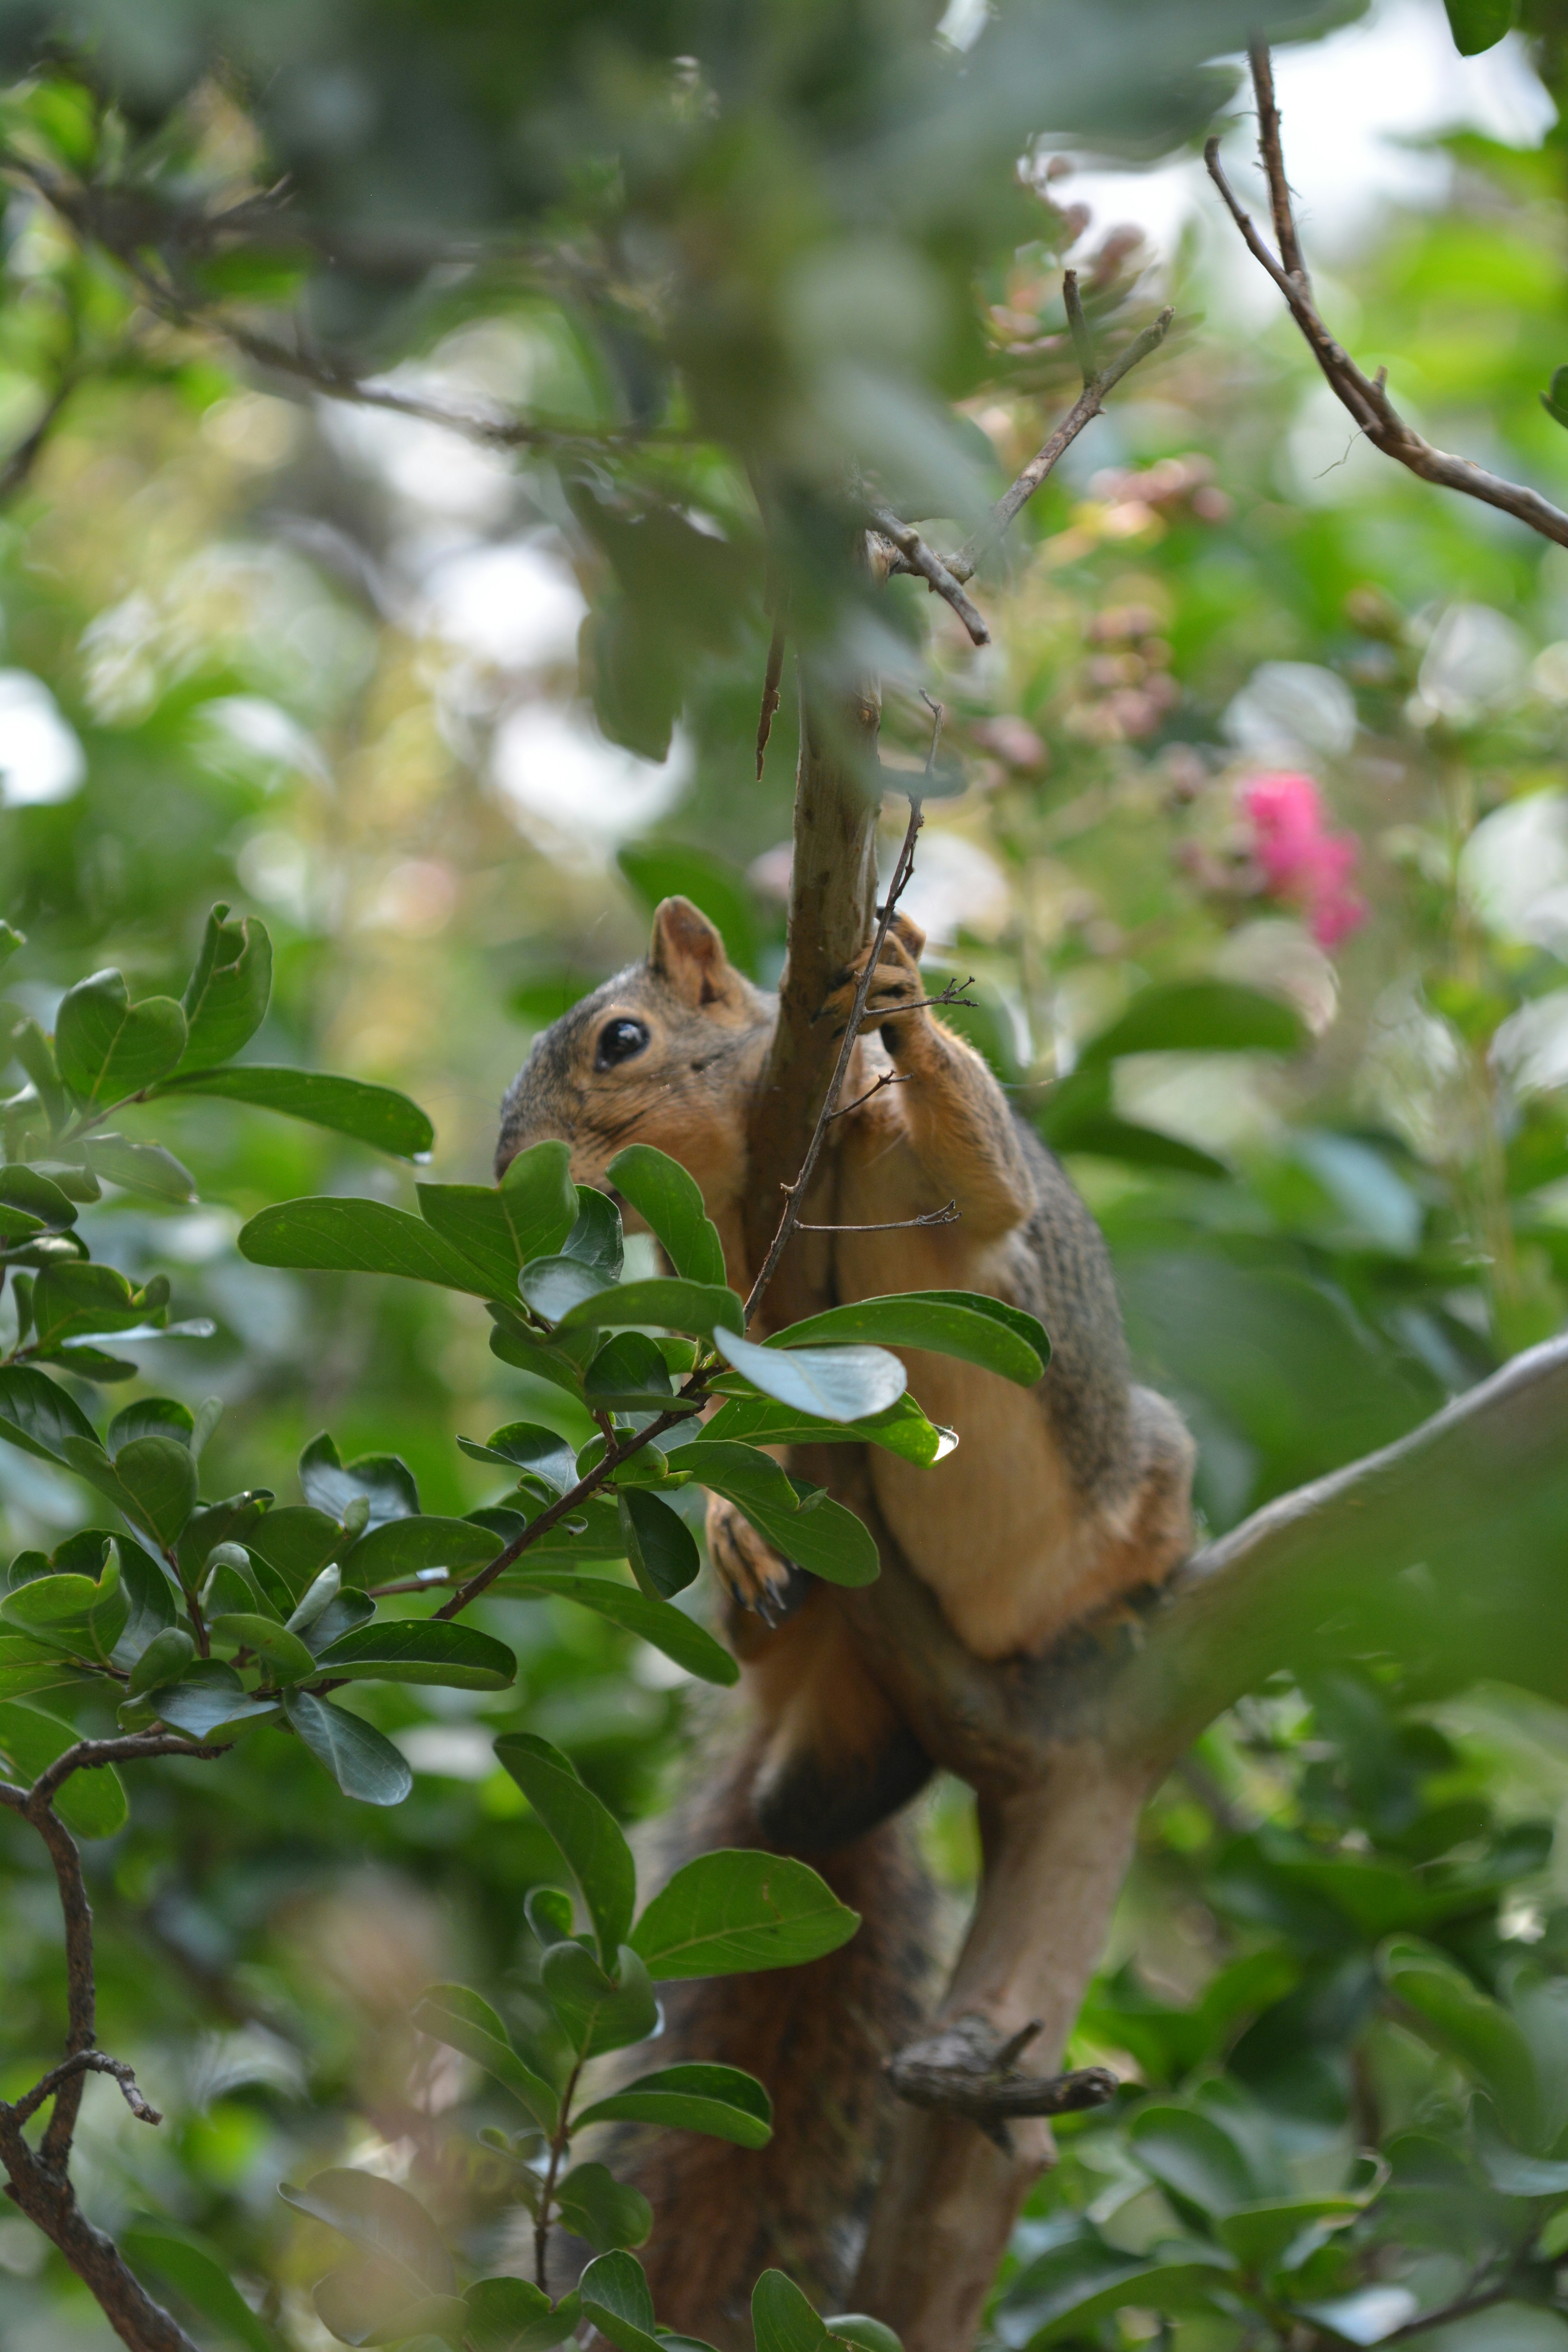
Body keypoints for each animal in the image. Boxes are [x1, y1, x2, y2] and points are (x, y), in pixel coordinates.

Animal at [495, 894, 1194, 2344]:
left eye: (621, 1041)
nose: (511, 1178)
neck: (751, 1173)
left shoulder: (903, 1175)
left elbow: (987, 1180)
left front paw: (901, 997)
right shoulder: (727, 1301)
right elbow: (720, 1410)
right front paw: (726, 1511)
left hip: (1144, 1474)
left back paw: (1120, 1610)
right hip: (817, 1684)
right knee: (802, 1794)